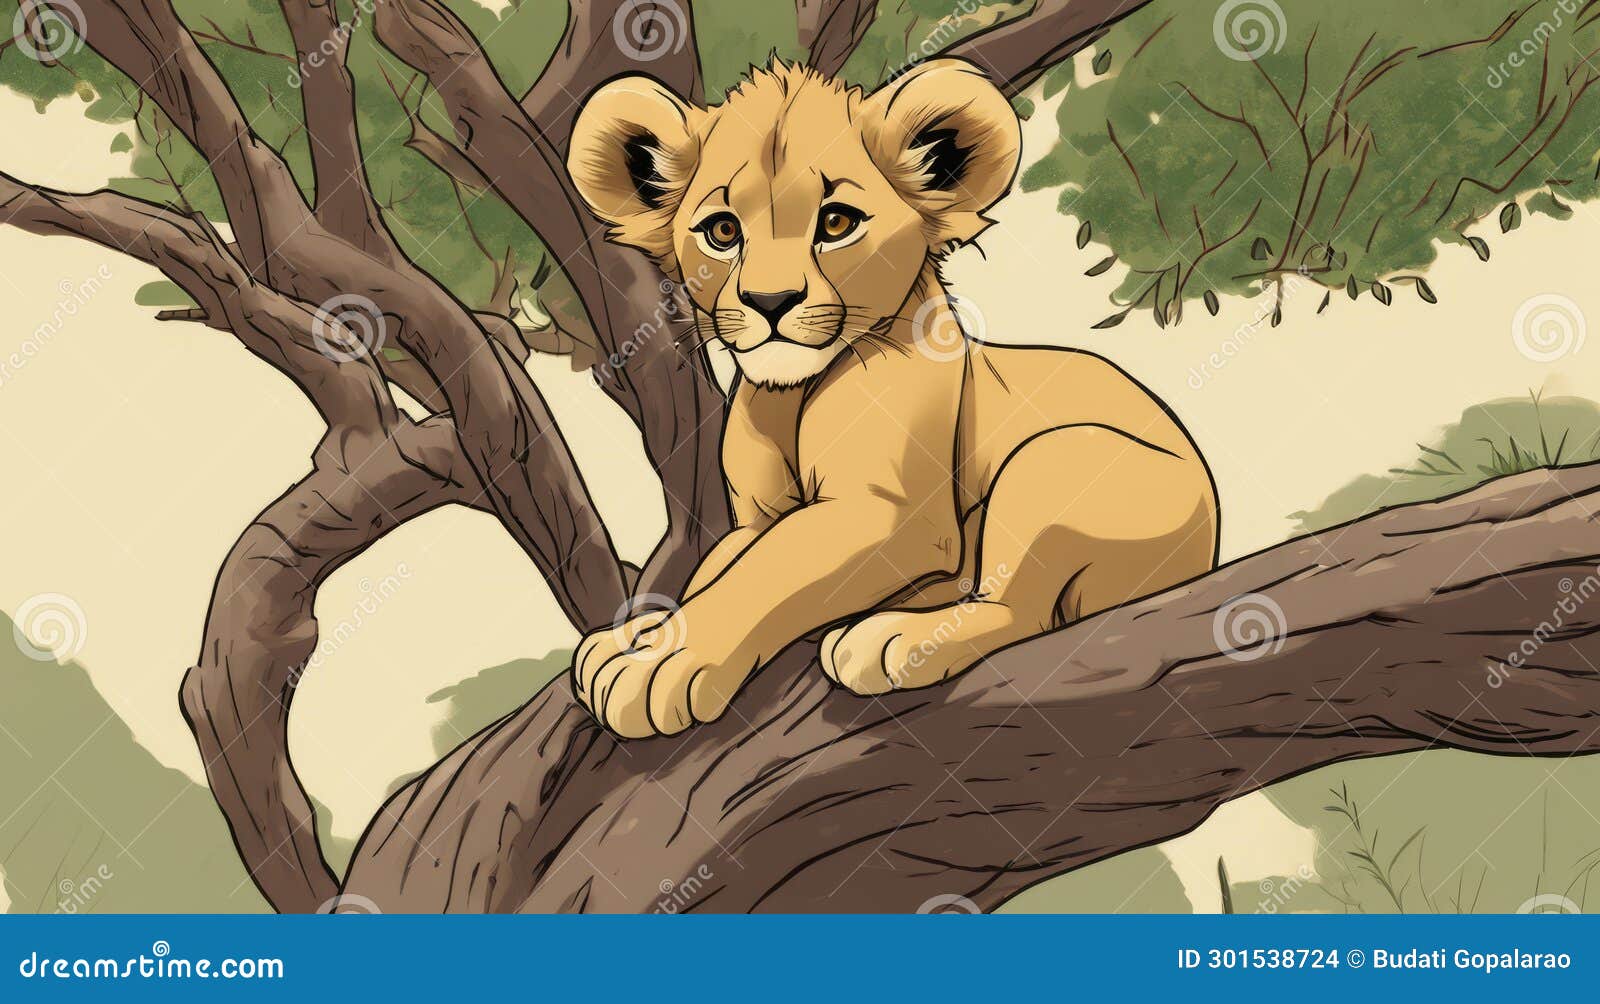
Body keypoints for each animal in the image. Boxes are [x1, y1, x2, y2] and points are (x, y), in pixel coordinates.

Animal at [565, 58, 1218, 739]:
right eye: (722, 231)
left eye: (836, 223)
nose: (770, 302)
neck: (788, 398)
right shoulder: (757, 520)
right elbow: (722, 568)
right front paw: (634, 635)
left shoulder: (891, 513)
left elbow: (764, 575)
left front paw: (657, 664)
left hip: (1060, 457)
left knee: (1020, 610)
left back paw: (891, 639)